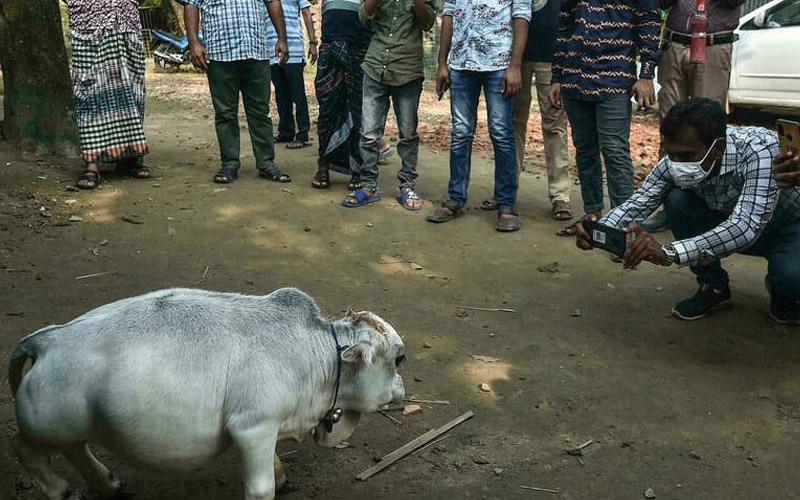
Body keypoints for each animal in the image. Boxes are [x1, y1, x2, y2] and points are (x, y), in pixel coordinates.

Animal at [8, 287, 406, 500]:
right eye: (399, 358)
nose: (402, 389)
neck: (316, 353)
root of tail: (45, 339)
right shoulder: (253, 426)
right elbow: (260, 487)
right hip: (45, 427)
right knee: (24, 450)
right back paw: (60, 489)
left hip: (73, 426)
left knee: (76, 449)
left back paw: (108, 483)